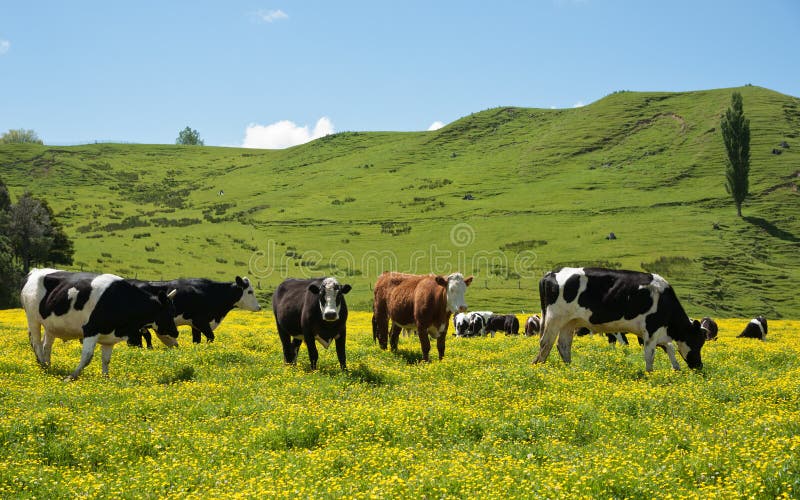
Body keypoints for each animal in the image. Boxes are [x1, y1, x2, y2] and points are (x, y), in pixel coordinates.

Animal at [20, 268, 178, 381]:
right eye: (169, 312)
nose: (176, 333)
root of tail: (35, 271)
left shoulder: (109, 337)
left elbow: (106, 359)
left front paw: (105, 378)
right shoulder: (91, 330)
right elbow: (87, 357)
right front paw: (71, 376)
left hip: (50, 325)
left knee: (46, 345)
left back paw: (48, 366)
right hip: (32, 319)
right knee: (36, 343)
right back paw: (43, 365)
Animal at [128, 276, 261, 348]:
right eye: (250, 291)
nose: (259, 307)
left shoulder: (195, 325)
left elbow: (197, 340)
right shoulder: (200, 321)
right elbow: (211, 337)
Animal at [535, 267, 705, 371]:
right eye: (697, 342)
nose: (699, 365)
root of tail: (552, 273)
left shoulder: (656, 332)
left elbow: (669, 347)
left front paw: (676, 368)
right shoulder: (651, 329)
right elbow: (650, 355)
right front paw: (649, 374)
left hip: (570, 322)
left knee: (563, 345)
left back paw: (570, 368)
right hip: (554, 318)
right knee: (545, 343)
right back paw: (538, 367)